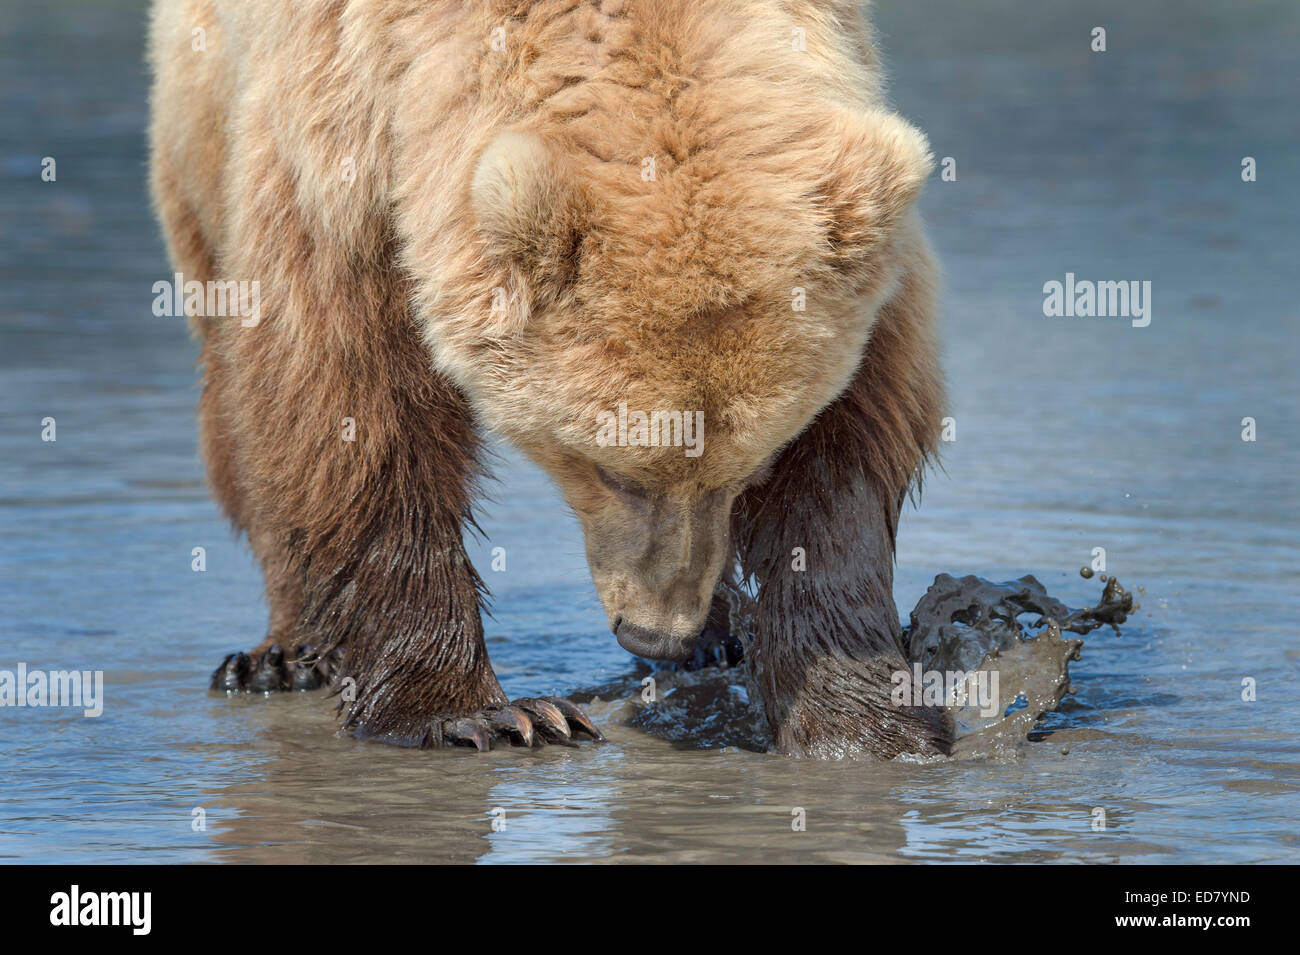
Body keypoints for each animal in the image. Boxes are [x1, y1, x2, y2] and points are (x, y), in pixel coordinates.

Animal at [148, 0, 949, 759]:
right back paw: (282, 654)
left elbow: (854, 442)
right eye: (610, 469)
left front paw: (863, 717)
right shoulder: (344, 133)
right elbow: (350, 405)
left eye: (748, 470)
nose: (656, 631)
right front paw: (480, 713)